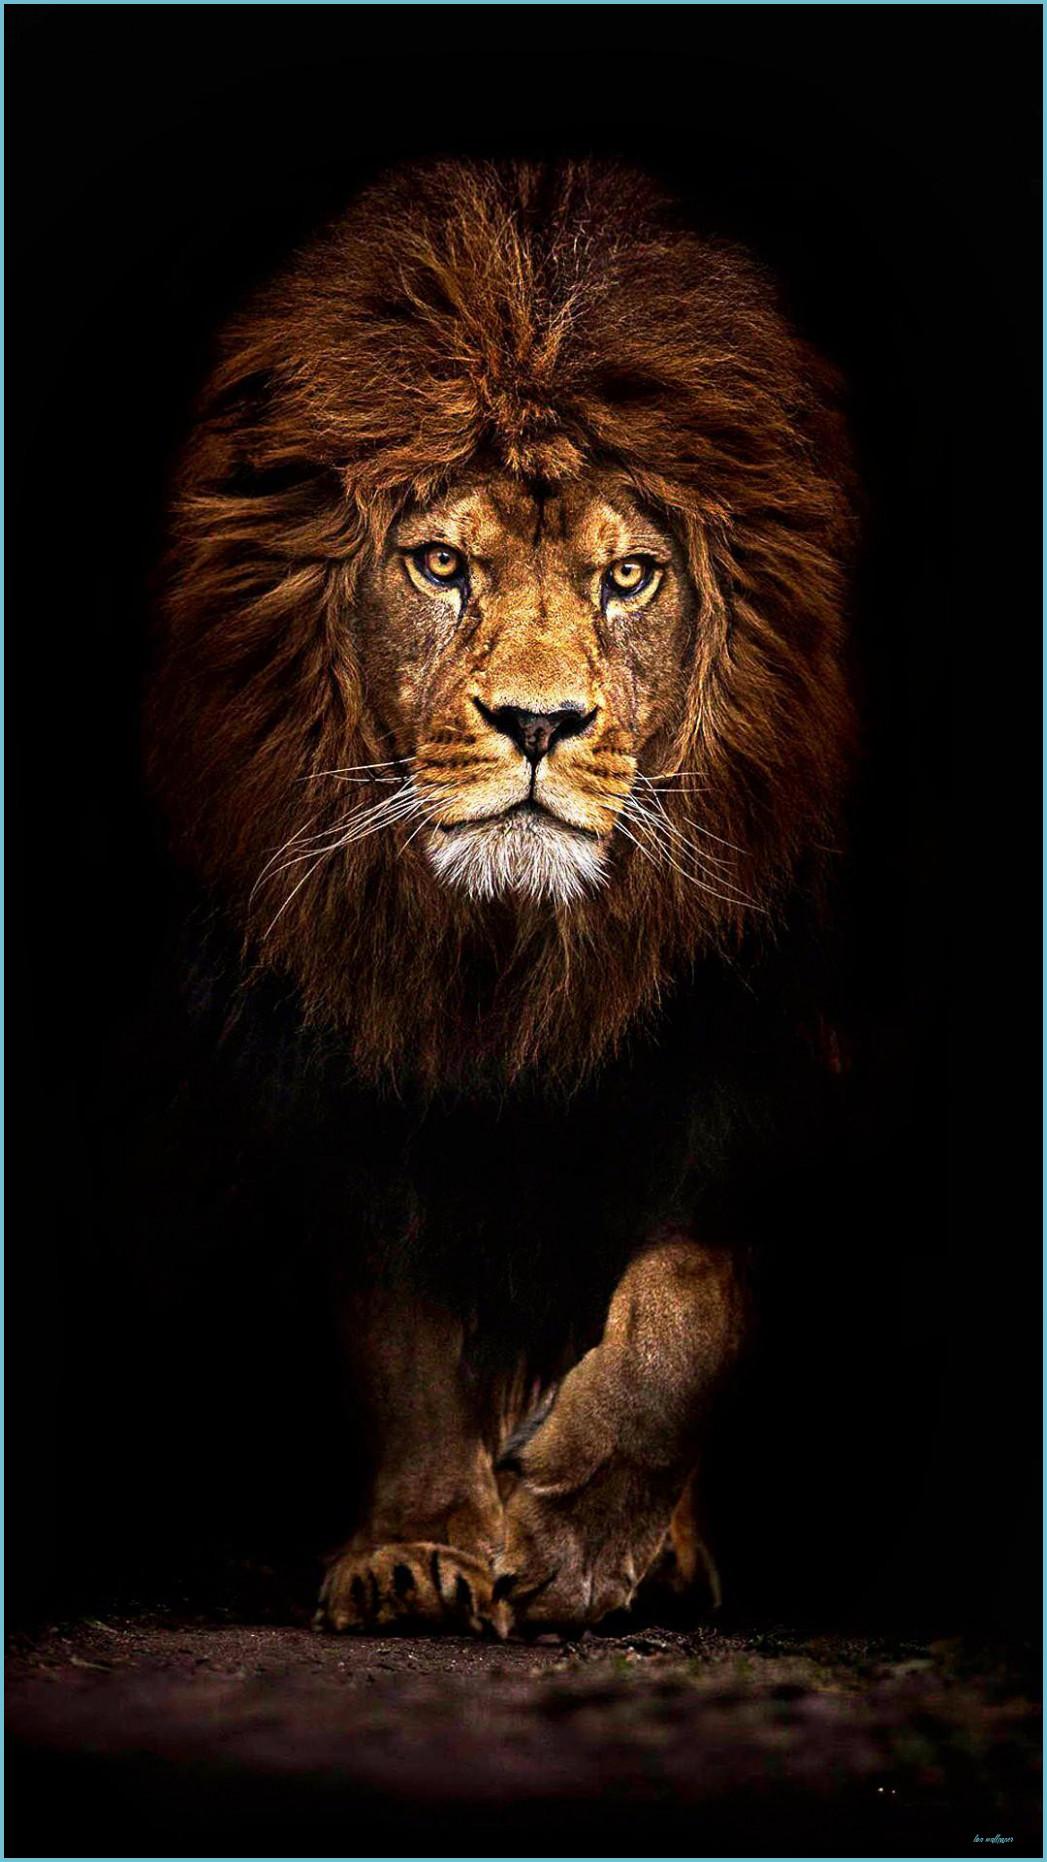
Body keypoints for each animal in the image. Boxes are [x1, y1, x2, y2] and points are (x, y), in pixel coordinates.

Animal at [151, 159, 855, 1635]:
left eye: (628, 575)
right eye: (439, 564)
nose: (537, 721)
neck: (512, 958)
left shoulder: (762, 1045)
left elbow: (688, 1298)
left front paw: (581, 1534)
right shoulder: (349, 1056)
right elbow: (402, 1326)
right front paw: (424, 1546)